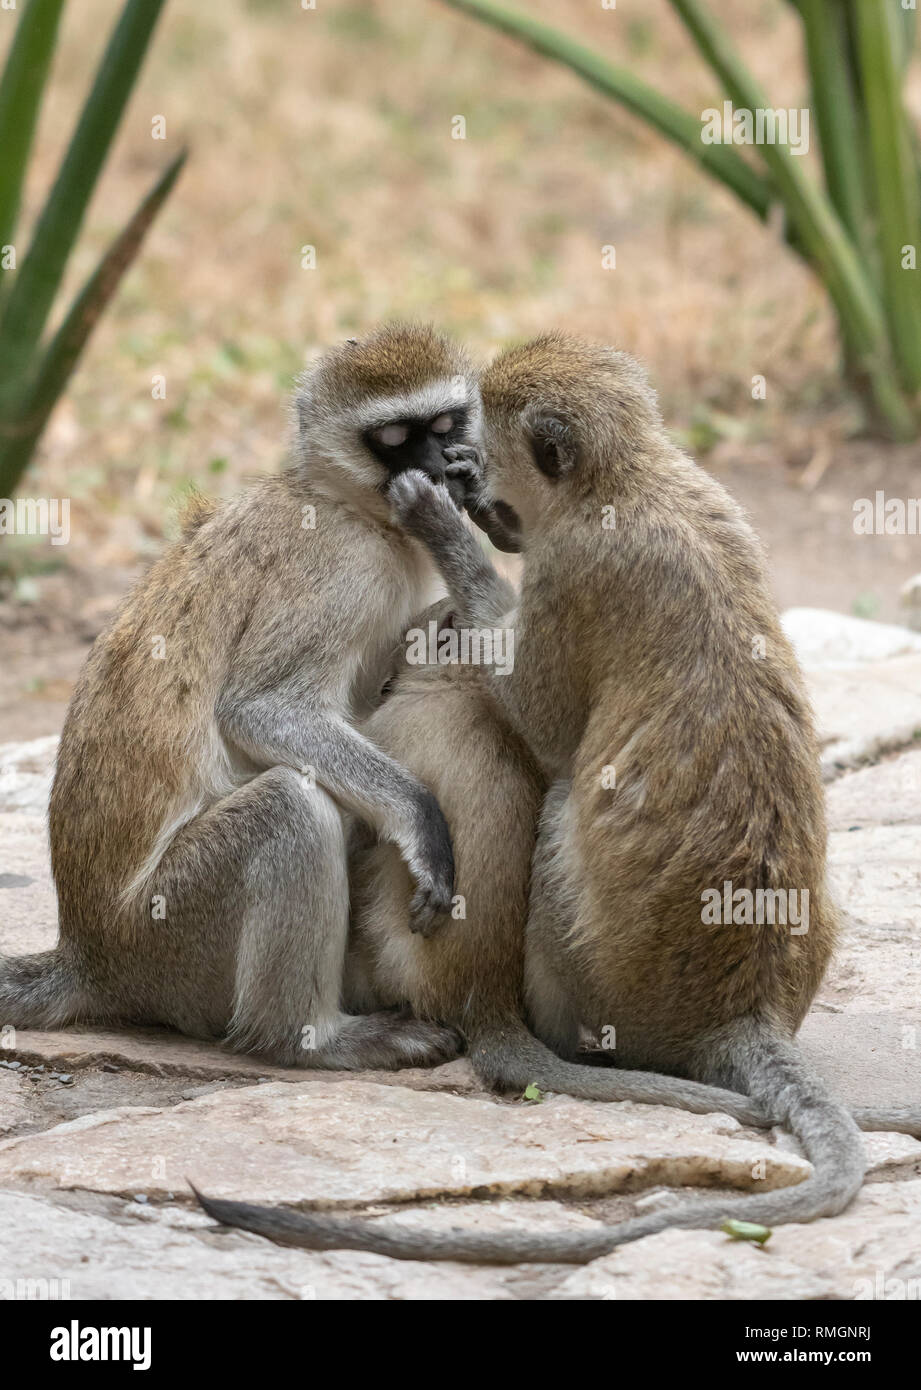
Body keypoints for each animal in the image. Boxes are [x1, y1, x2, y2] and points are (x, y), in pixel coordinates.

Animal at [0, 322, 501, 1071]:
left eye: (444, 425)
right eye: (392, 437)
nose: (440, 463)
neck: (348, 505)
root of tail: (90, 958)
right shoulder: (341, 570)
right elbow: (262, 709)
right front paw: (419, 821)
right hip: (171, 936)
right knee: (289, 805)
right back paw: (308, 1039)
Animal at [195, 334, 920, 1263]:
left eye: (475, 454)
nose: (468, 489)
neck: (629, 478)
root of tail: (741, 1012)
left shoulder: (569, 566)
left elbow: (531, 715)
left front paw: (445, 536)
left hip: (590, 991)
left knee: (559, 794)